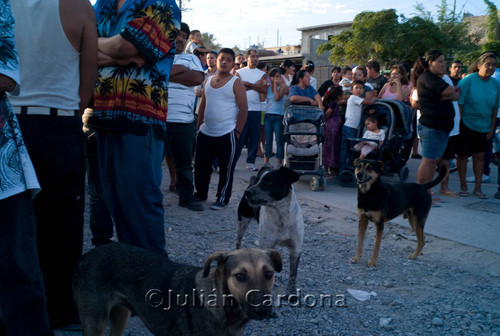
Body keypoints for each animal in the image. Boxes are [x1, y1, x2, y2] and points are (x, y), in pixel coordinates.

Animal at [73, 243, 282, 334]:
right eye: (240, 276)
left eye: (269, 274)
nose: (263, 311)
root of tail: (89, 254)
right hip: (96, 323)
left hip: (119, 315)